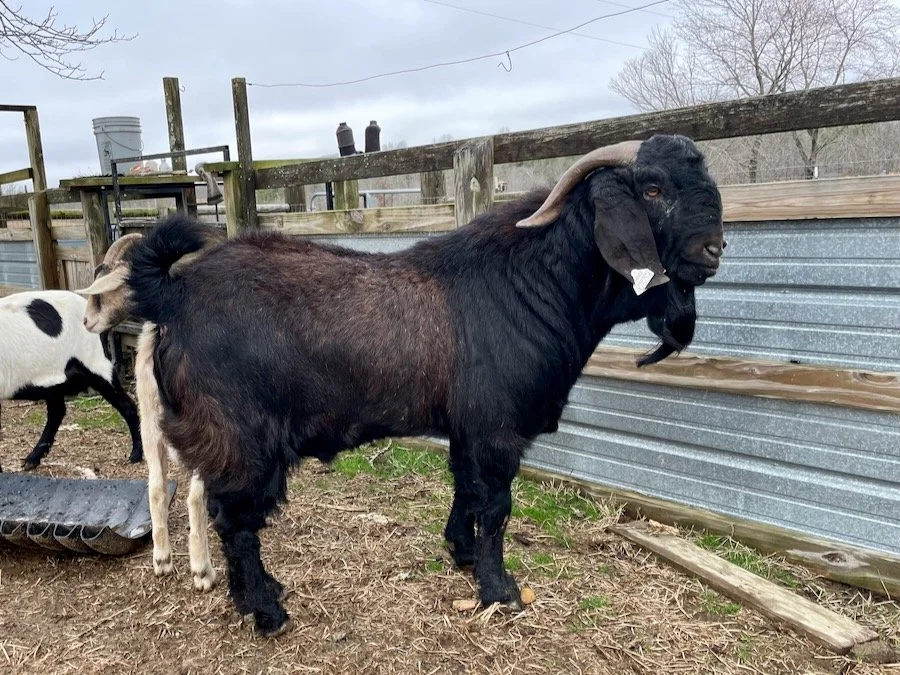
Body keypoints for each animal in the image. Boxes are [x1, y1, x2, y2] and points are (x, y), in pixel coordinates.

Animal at [0, 288, 142, 472]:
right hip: (53, 378)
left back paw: (136, 455)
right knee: (57, 412)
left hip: (94, 361)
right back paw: (33, 459)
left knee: (127, 405)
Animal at [78, 134, 725, 637]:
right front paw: (500, 591)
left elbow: (465, 489)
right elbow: (496, 505)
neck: (527, 282)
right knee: (234, 519)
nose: (715, 248)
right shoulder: (497, 430)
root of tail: (172, 292)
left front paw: (461, 556)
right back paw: (265, 612)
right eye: (652, 189)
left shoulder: (468, 427)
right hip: (239, 438)